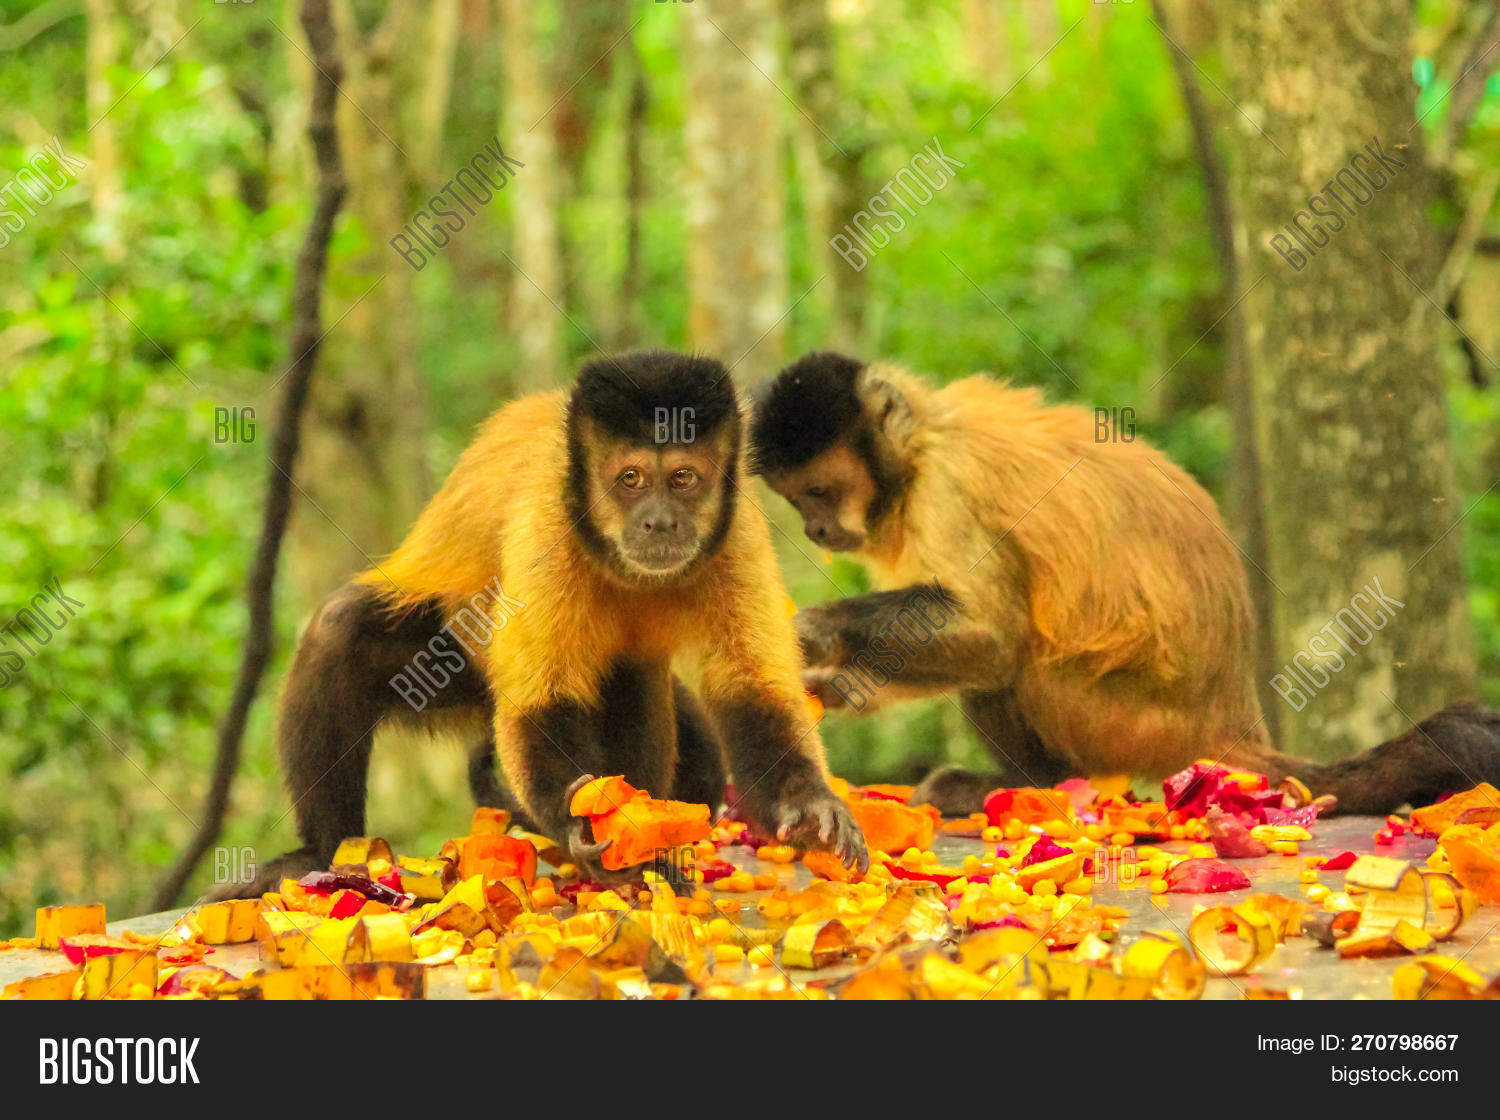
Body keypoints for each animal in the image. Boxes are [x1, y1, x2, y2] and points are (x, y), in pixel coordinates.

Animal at [230, 351, 865, 898]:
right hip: (461, 665)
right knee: (342, 630)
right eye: (631, 479)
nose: (660, 521)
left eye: (684, 478)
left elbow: (752, 689)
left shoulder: (738, 533)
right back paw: (323, 854)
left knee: (633, 679)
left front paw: (806, 807)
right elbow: (539, 702)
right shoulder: (549, 526)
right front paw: (576, 821)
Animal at [749, 350, 1500, 817]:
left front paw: (820, 637)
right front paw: (825, 678)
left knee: (1015, 662)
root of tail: (1231, 721)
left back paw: (1035, 785)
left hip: (1128, 724)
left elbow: (992, 633)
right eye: (797, 500)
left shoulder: (947, 485)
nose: (817, 528)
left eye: (819, 492)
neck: (921, 445)